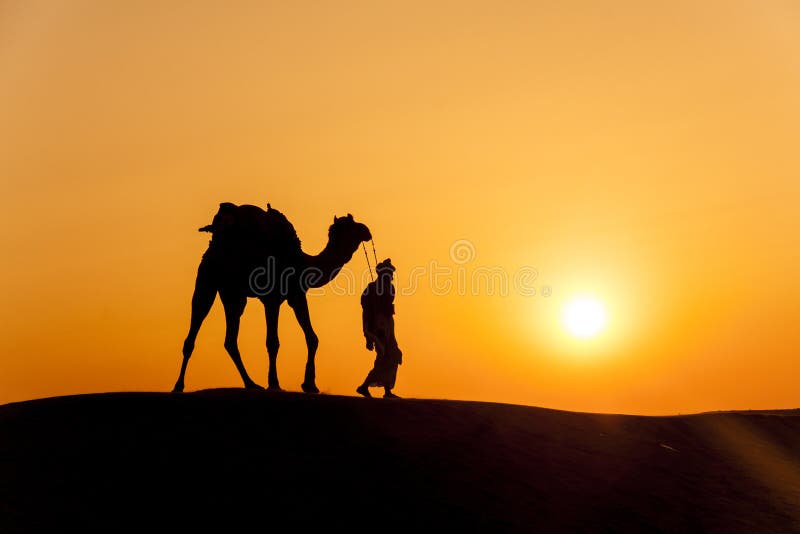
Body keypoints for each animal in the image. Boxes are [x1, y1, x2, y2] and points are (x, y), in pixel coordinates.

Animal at [173, 202, 372, 393]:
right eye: (352, 225)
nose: (367, 230)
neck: (303, 263)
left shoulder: (295, 296)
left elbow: (312, 338)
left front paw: (310, 385)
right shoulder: (274, 298)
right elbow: (273, 342)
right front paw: (275, 383)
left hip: (231, 293)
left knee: (228, 339)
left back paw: (250, 383)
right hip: (208, 281)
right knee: (198, 326)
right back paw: (179, 385)